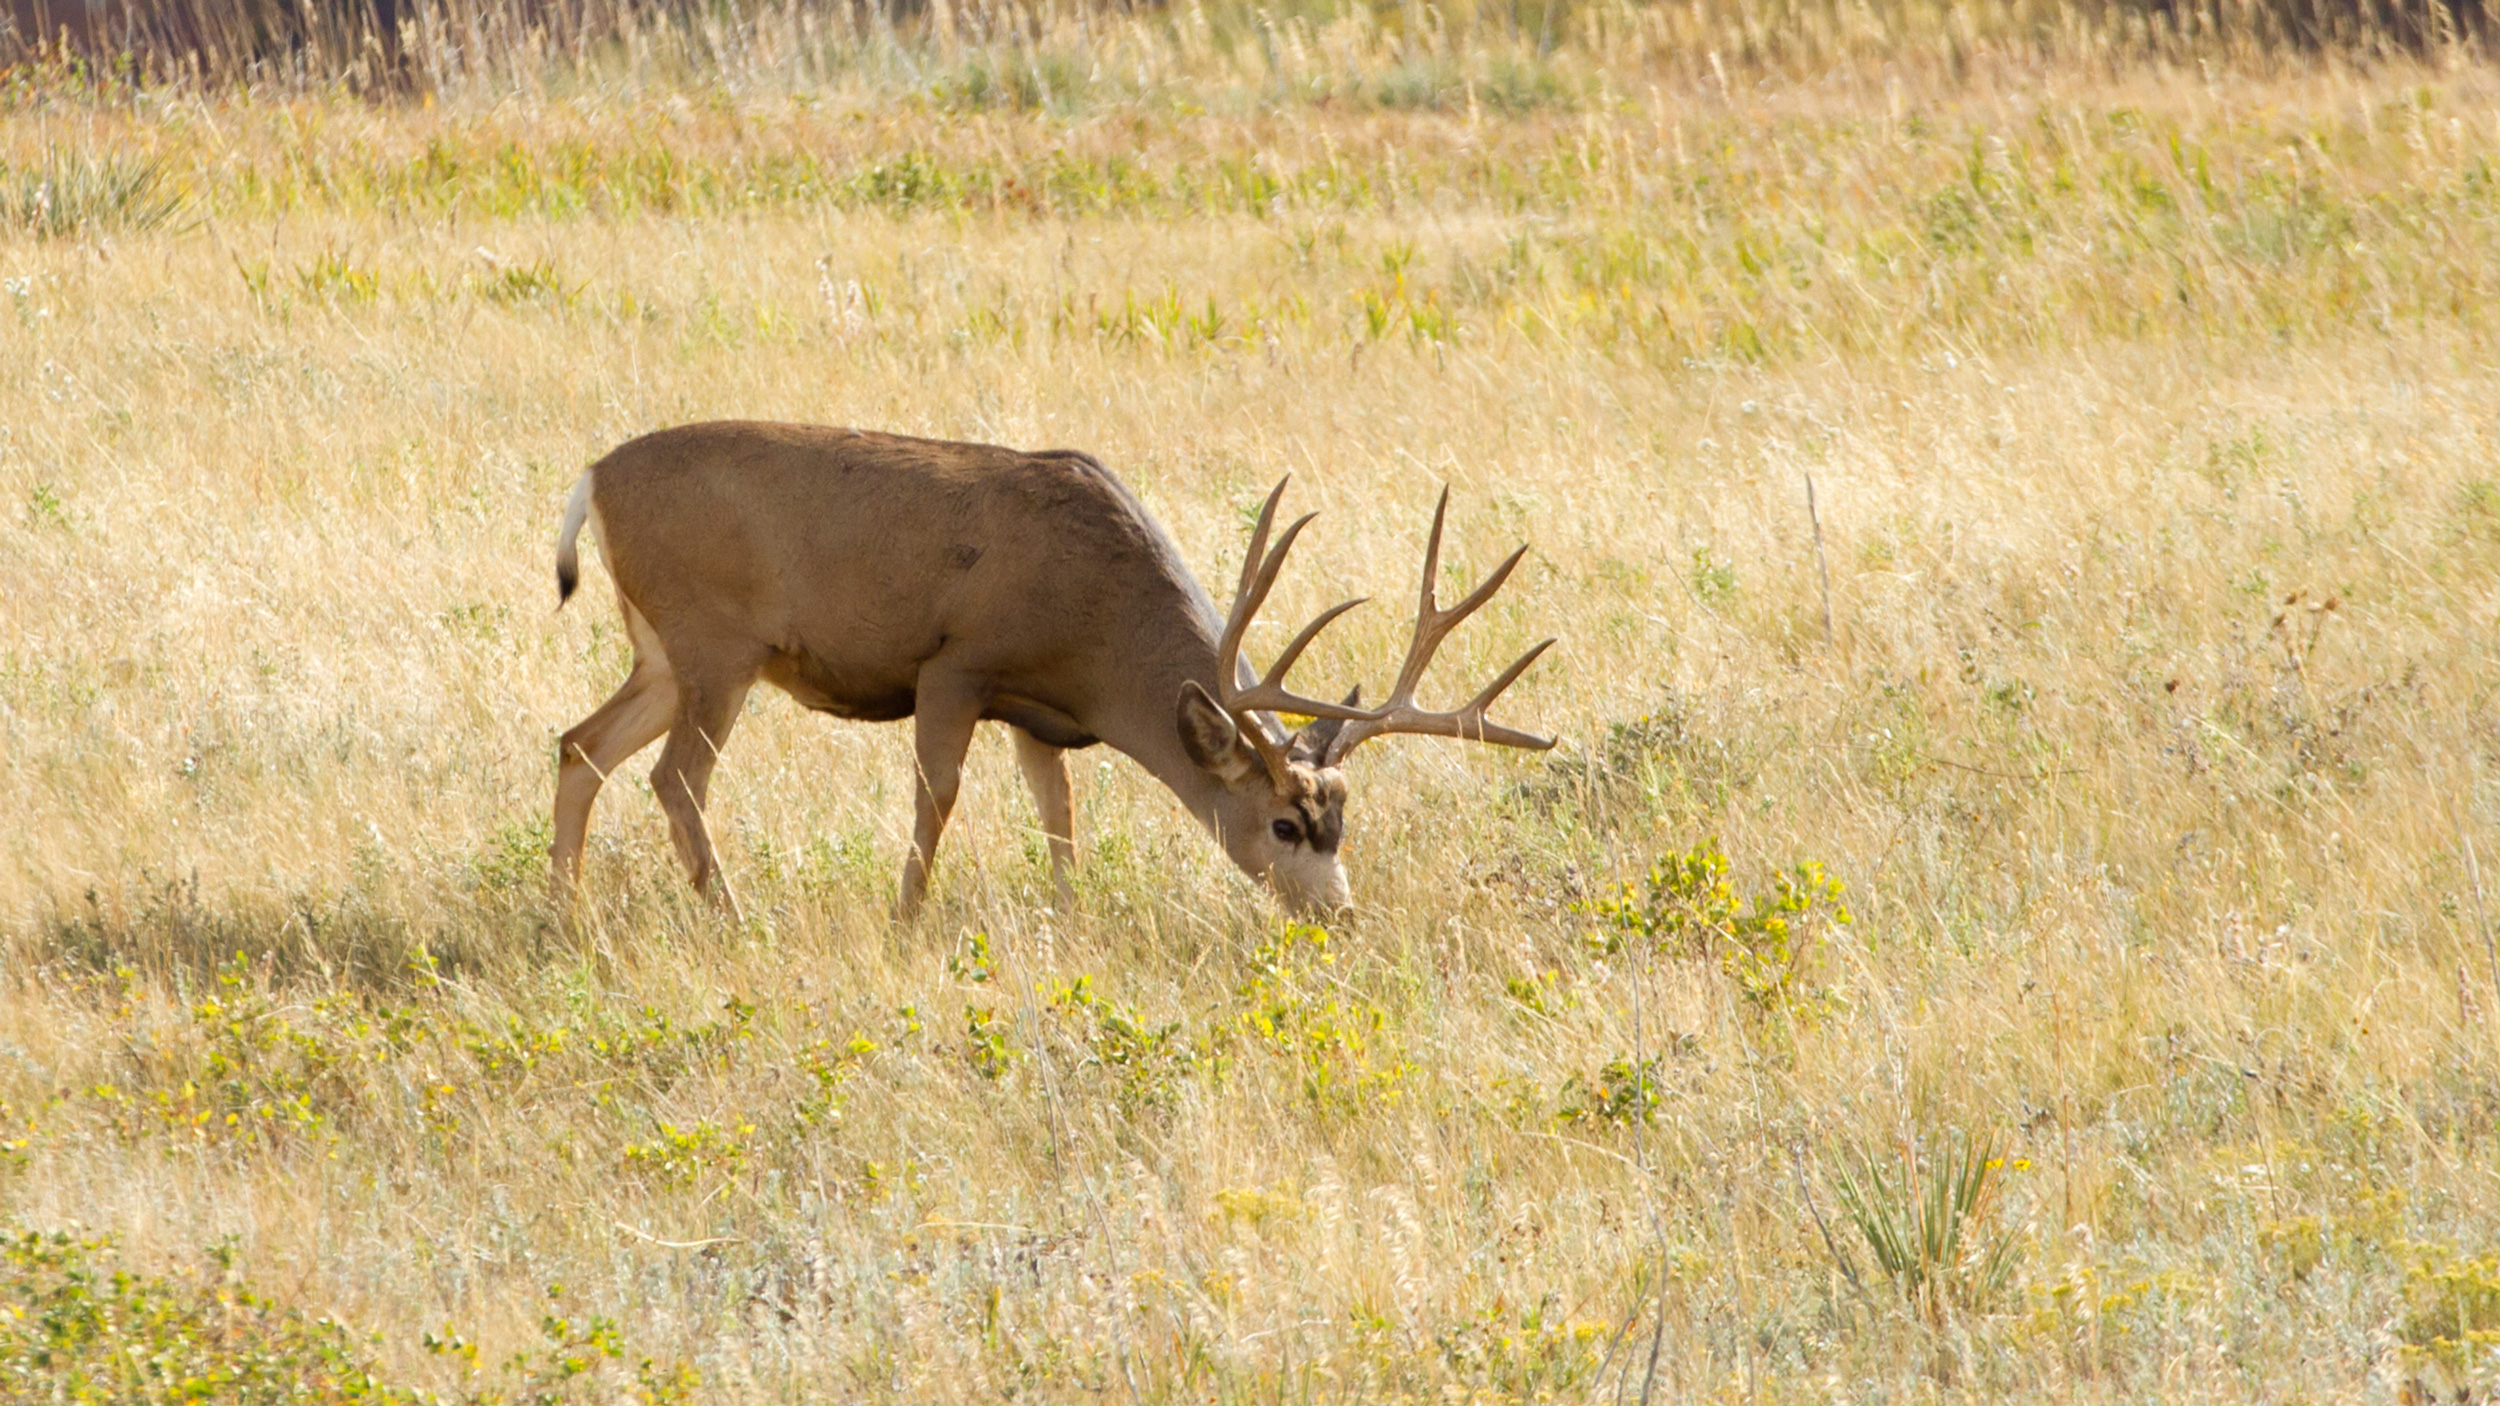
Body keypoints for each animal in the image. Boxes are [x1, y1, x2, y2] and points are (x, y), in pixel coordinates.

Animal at [548, 421, 1554, 921]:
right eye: (1282, 823)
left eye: (1342, 822)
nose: (1340, 916)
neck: (1097, 628)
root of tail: (592, 476)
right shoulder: (956, 664)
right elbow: (939, 793)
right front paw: (907, 919)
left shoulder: (1036, 715)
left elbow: (1058, 811)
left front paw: (1068, 916)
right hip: (715, 644)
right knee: (675, 777)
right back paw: (733, 916)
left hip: (661, 654)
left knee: (578, 746)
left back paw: (566, 915)